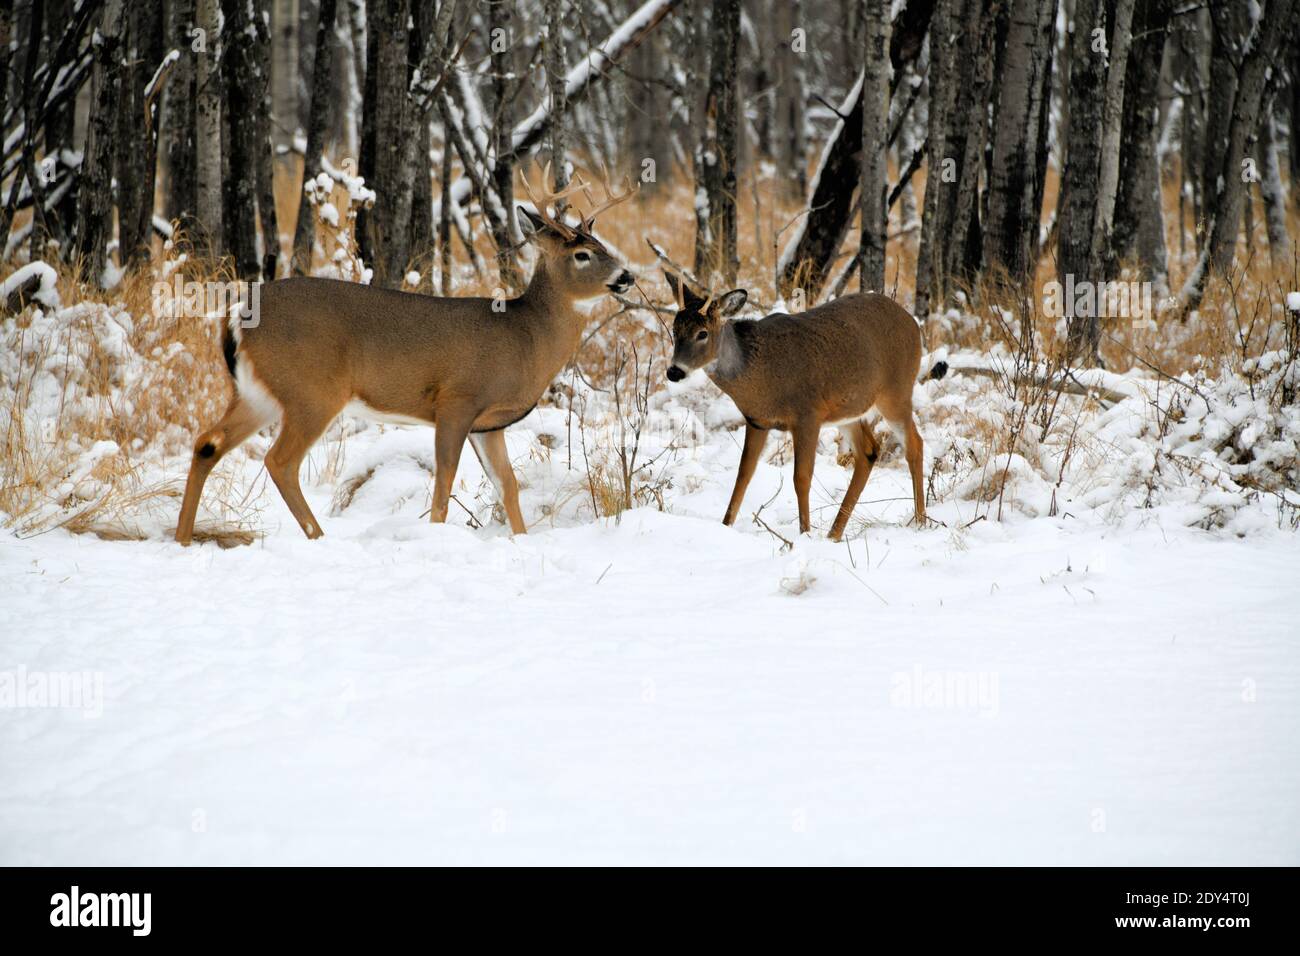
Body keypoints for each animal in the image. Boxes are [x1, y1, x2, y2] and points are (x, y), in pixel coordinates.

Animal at [175, 168, 636, 545]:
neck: (526, 338)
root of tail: (237, 315)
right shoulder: (457, 401)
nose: (627, 275)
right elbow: (444, 486)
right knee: (280, 460)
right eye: (582, 254)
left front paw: (520, 542)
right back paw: (319, 537)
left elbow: (507, 485)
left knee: (207, 444)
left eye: (602, 244)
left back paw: (182, 539)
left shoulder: (489, 424)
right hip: (313, 390)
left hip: (259, 393)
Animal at [660, 269, 946, 541]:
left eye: (702, 333)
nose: (674, 371)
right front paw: (725, 526)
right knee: (869, 451)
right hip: (849, 410)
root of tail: (913, 323)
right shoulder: (756, 421)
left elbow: (801, 477)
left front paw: (805, 533)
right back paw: (834, 534)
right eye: (674, 330)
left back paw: (920, 522)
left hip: (896, 391)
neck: (757, 373)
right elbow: (744, 474)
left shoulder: (807, 415)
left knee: (914, 444)